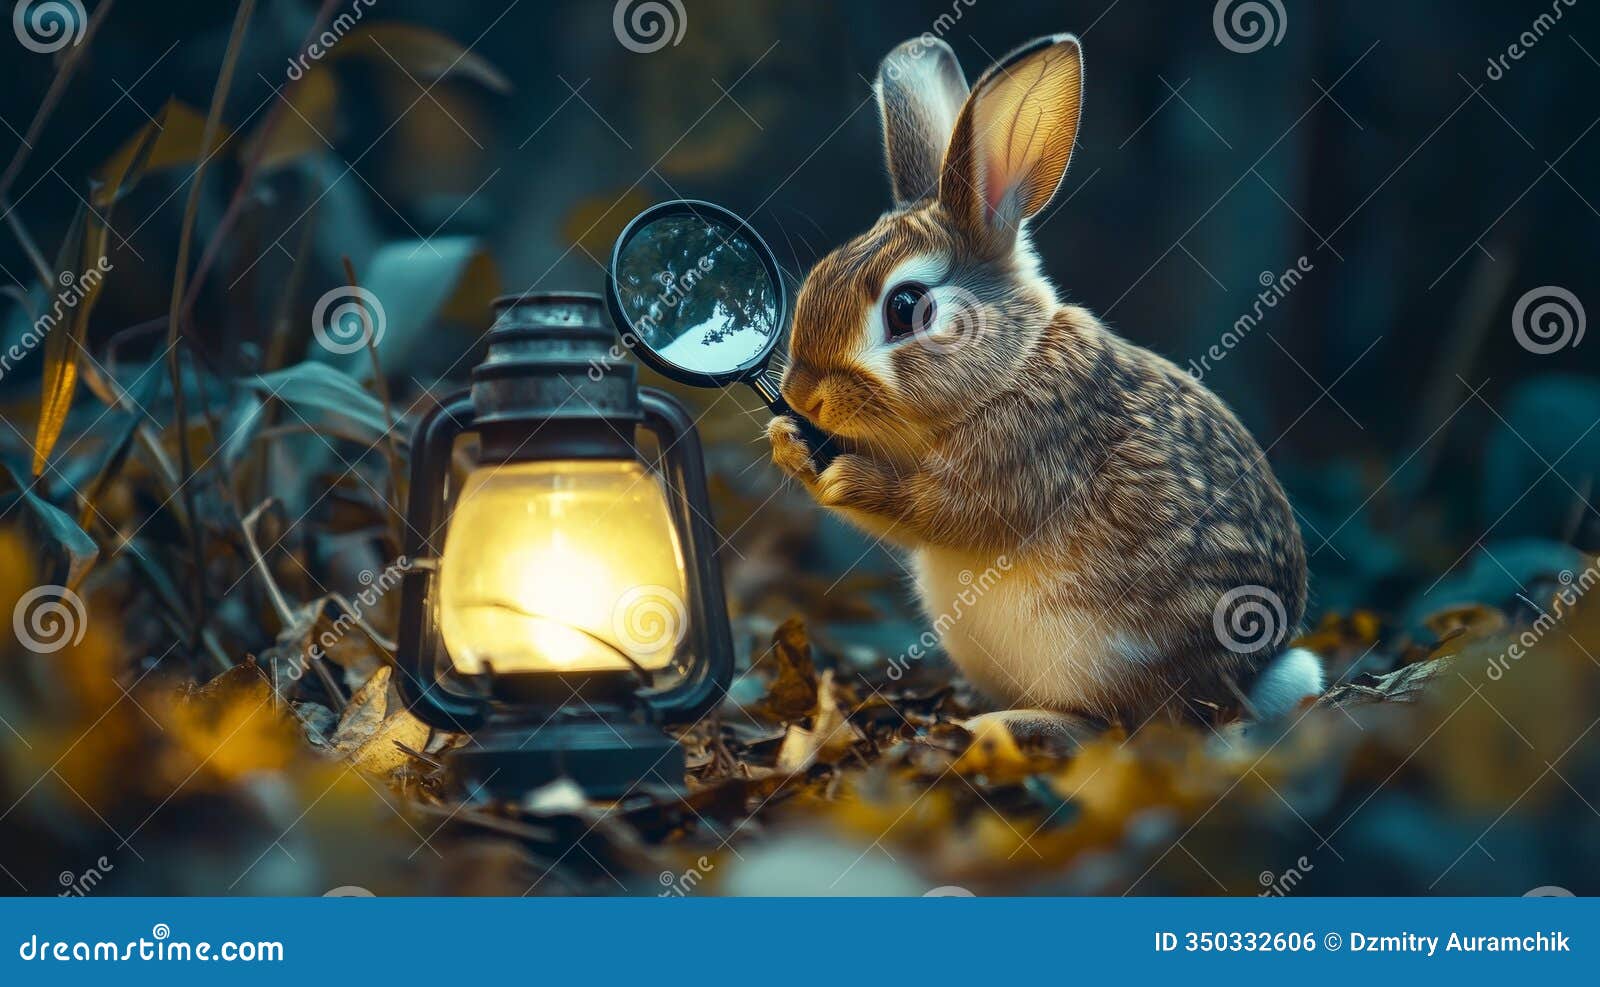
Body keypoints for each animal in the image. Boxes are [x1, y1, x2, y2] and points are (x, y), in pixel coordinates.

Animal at [767, 33, 1320, 726]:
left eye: (906, 307)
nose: (801, 394)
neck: (1010, 367)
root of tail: (1252, 677)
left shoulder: (1021, 459)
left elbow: (935, 511)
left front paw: (844, 478)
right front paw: (787, 444)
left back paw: (1010, 724)